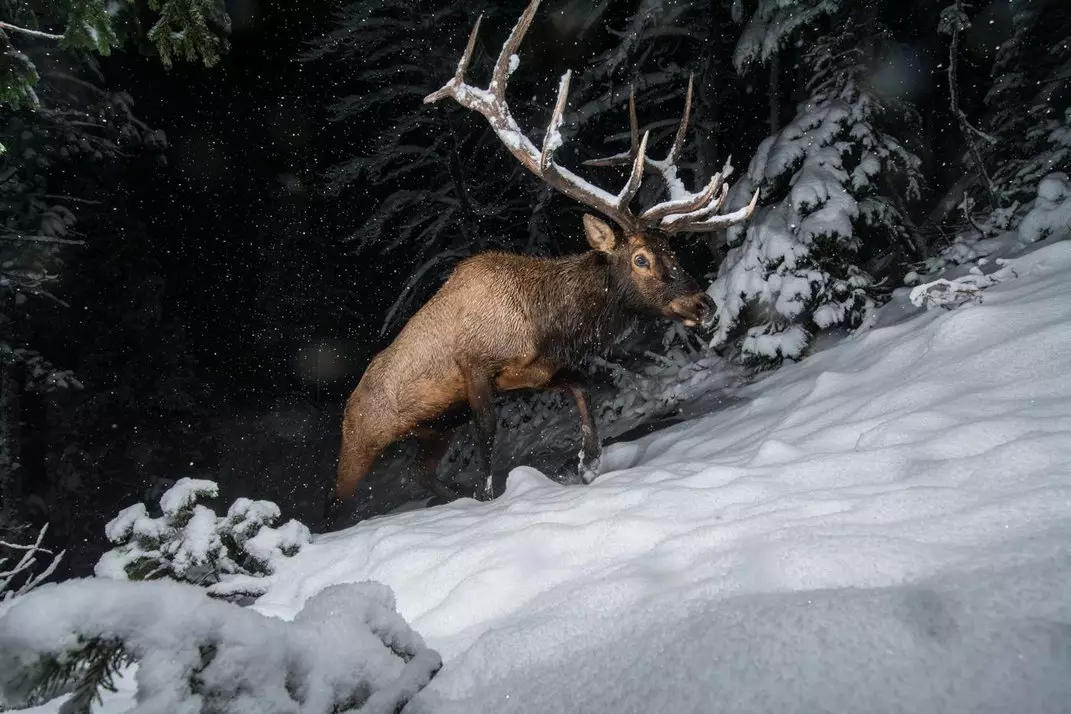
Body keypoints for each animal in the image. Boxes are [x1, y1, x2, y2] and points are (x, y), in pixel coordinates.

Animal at [321, 0, 758, 530]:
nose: (704, 304)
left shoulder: (530, 372)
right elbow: (490, 436)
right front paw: (489, 497)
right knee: (336, 502)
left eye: (674, 252)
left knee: (423, 474)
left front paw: (588, 462)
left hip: (434, 430)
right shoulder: (474, 365)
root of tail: (347, 403)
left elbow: (582, 387)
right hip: (359, 441)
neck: (545, 321)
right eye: (641, 258)